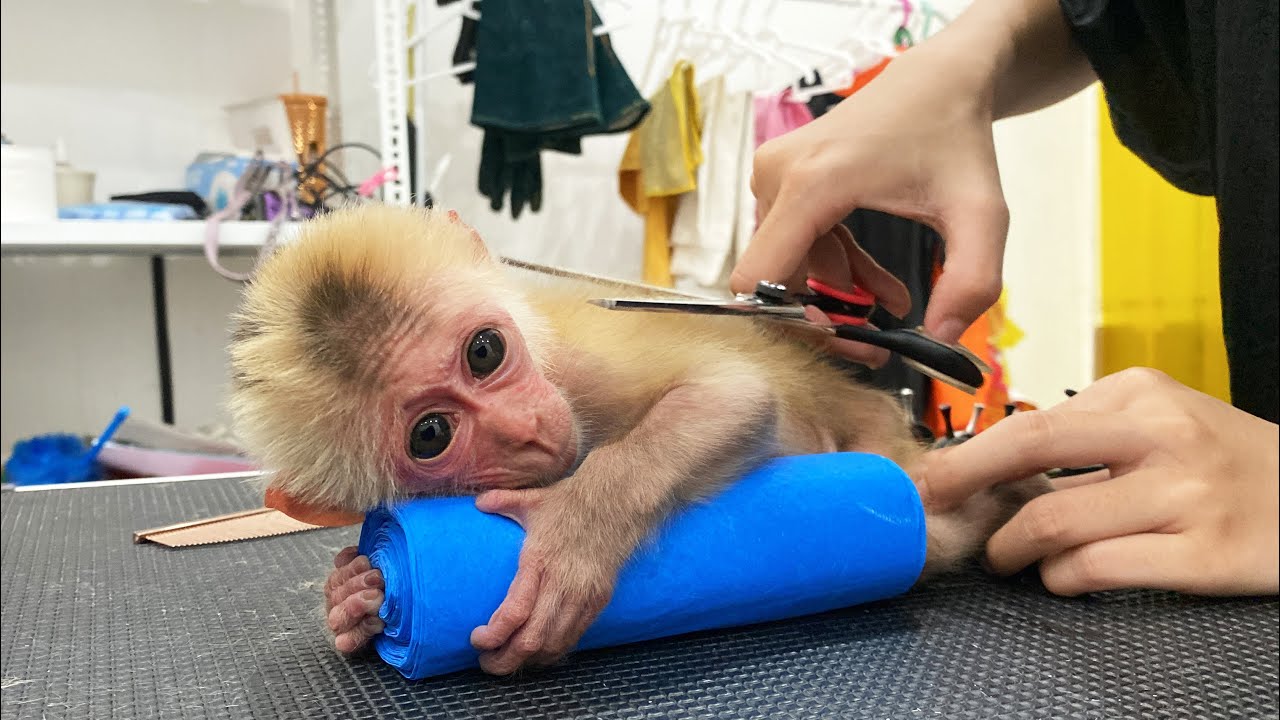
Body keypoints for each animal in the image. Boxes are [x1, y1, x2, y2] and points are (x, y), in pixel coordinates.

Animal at [227, 203, 1048, 677]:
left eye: (484, 352)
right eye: (431, 435)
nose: (525, 429)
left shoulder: (580, 372)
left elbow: (736, 393)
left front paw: (576, 533)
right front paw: (356, 594)